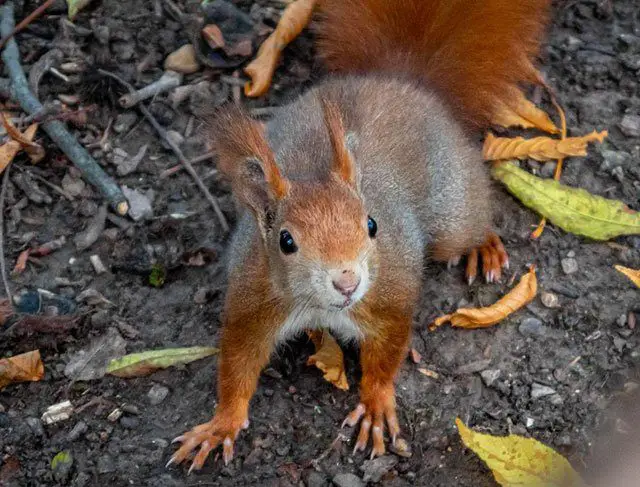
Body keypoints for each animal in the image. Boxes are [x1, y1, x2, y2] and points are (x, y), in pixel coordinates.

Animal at [168, 0, 551, 471]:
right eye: (286, 242)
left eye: (371, 224)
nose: (348, 281)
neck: (319, 306)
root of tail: (402, 82)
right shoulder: (253, 299)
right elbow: (237, 362)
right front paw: (221, 424)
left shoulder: (389, 293)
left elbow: (387, 352)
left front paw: (375, 404)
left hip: (452, 209)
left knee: (474, 215)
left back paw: (485, 246)